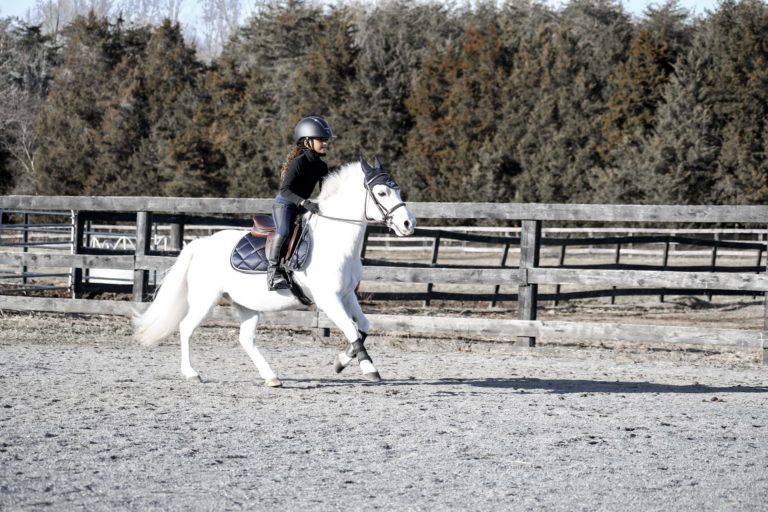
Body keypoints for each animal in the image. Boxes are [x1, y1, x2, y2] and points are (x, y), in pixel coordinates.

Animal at [132, 159, 416, 387]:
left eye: (398, 189)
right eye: (381, 192)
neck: (334, 240)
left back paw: (271, 377)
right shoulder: (329, 299)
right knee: (186, 328)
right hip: (205, 299)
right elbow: (352, 330)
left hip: (245, 304)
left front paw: (341, 361)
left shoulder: (346, 295)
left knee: (246, 339)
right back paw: (191, 373)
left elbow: (363, 327)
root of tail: (201, 244)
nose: (408, 224)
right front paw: (369, 369)